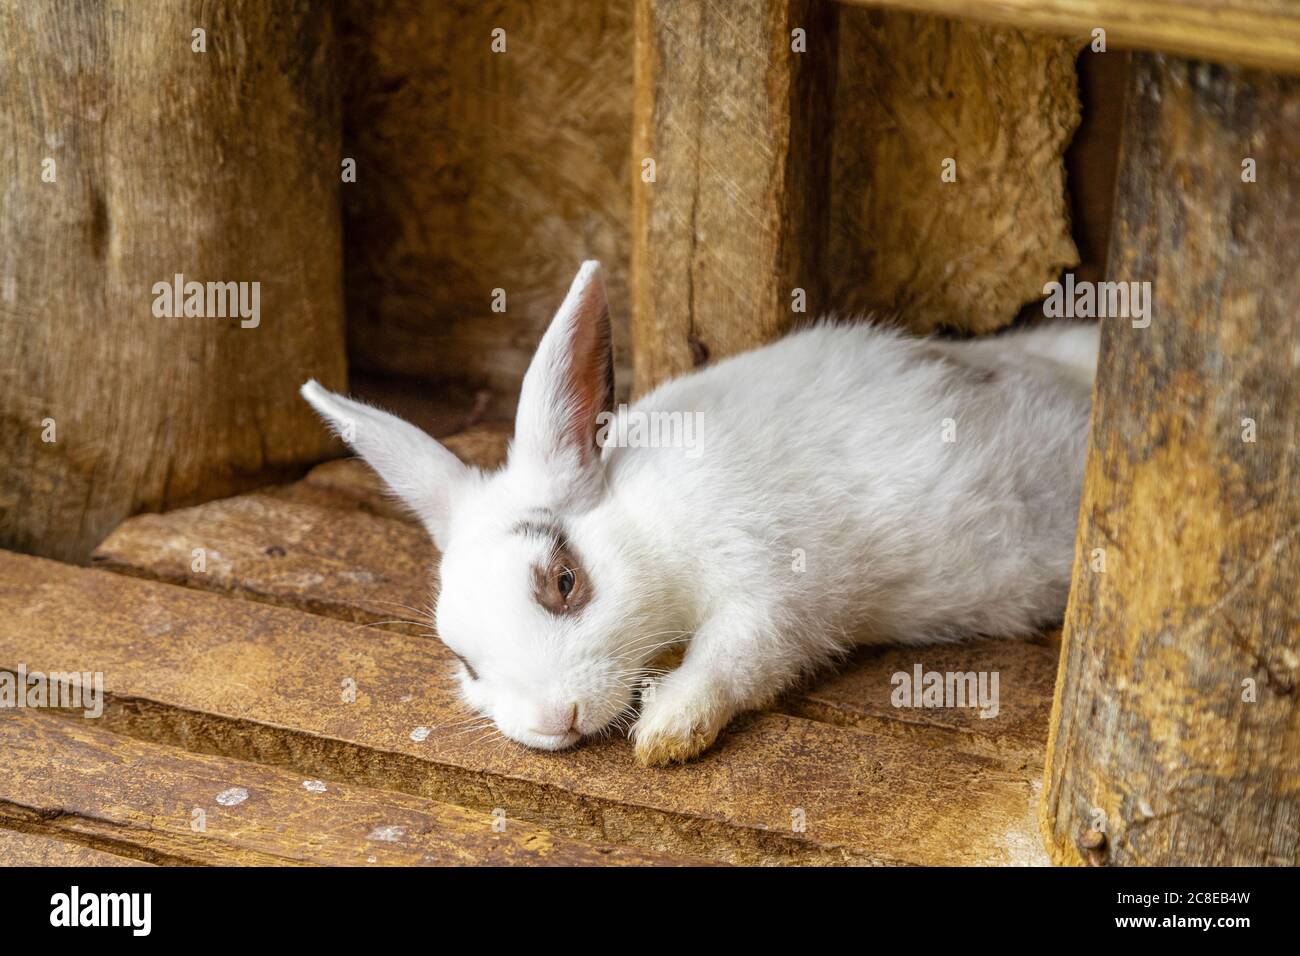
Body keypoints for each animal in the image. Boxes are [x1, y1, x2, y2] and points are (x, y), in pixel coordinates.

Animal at [301, 260, 1097, 766]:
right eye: (465, 661)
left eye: (564, 582)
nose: (553, 721)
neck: (645, 525)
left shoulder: (774, 587)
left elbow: (733, 656)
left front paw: (666, 730)